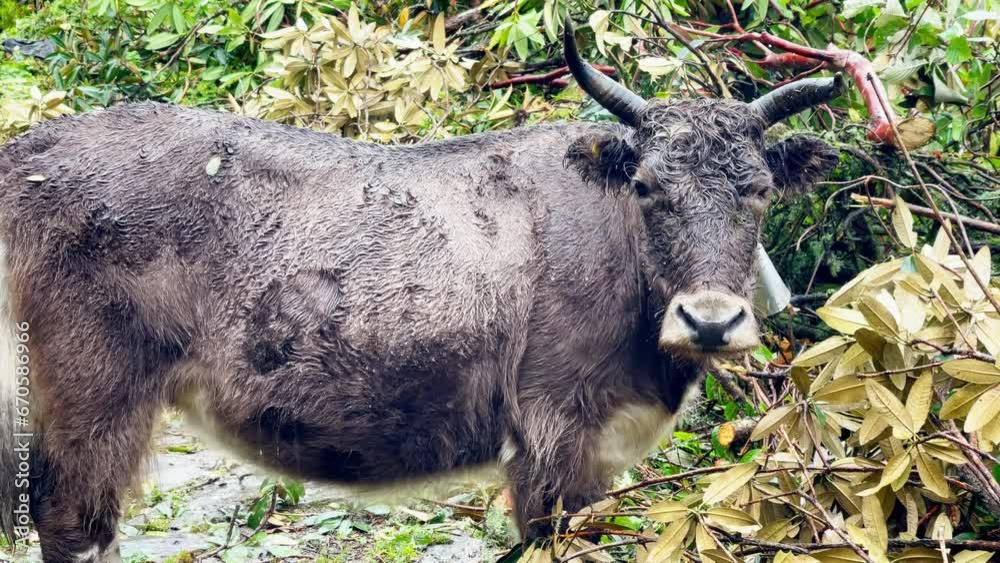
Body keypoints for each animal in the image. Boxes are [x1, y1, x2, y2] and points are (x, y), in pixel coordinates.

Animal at [0, 19, 842, 562]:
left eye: (759, 189)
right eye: (647, 186)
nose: (711, 320)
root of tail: (27, 153)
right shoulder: (553, 436)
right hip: (89, 390)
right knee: (71, 521)